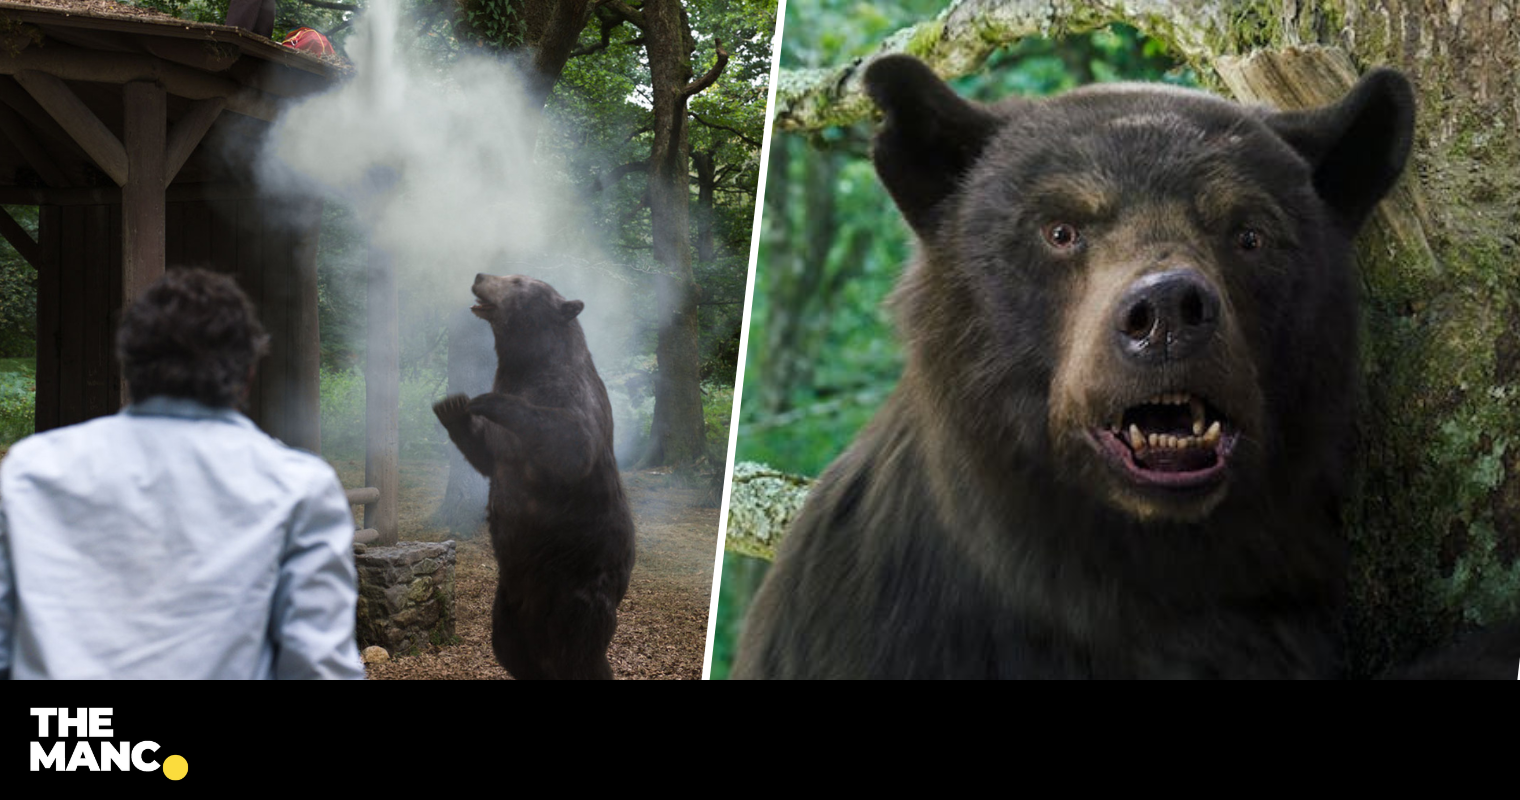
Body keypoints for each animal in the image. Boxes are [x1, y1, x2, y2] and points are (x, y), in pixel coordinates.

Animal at [433, 273, 636, 680]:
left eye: (517, 281)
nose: (479, 276)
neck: (526, 365)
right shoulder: (501, 445)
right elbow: (486, 455)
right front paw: (453, 406)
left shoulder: (572, 398)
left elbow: (571, 443)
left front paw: (482, 400)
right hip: (508, 600)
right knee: (510, 648)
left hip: (576, 588)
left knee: (581, 653)